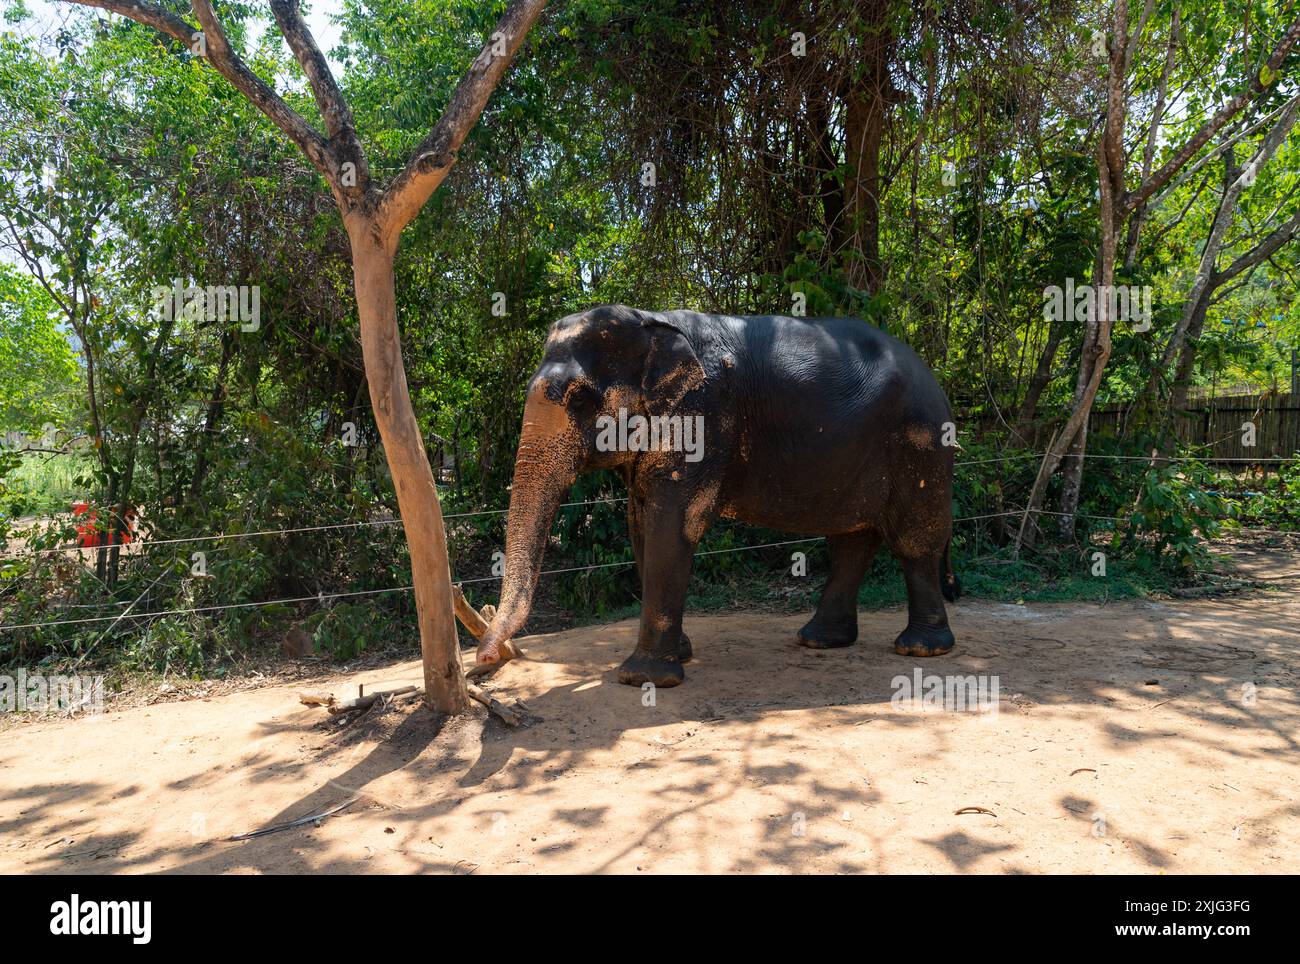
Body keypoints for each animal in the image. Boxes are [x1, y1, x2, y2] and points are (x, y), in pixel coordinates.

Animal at [475, 304, 961, 687]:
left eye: (579, 398)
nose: (485, 657)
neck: (651, 322)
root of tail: (933, 376)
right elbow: (640, 524)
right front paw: (680, 654)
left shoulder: (703, 417)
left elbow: (672, 524)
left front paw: (644, 679)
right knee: (852, 539)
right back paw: (820, 640)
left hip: (921, 442)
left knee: (915, 540)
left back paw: (921, 649)